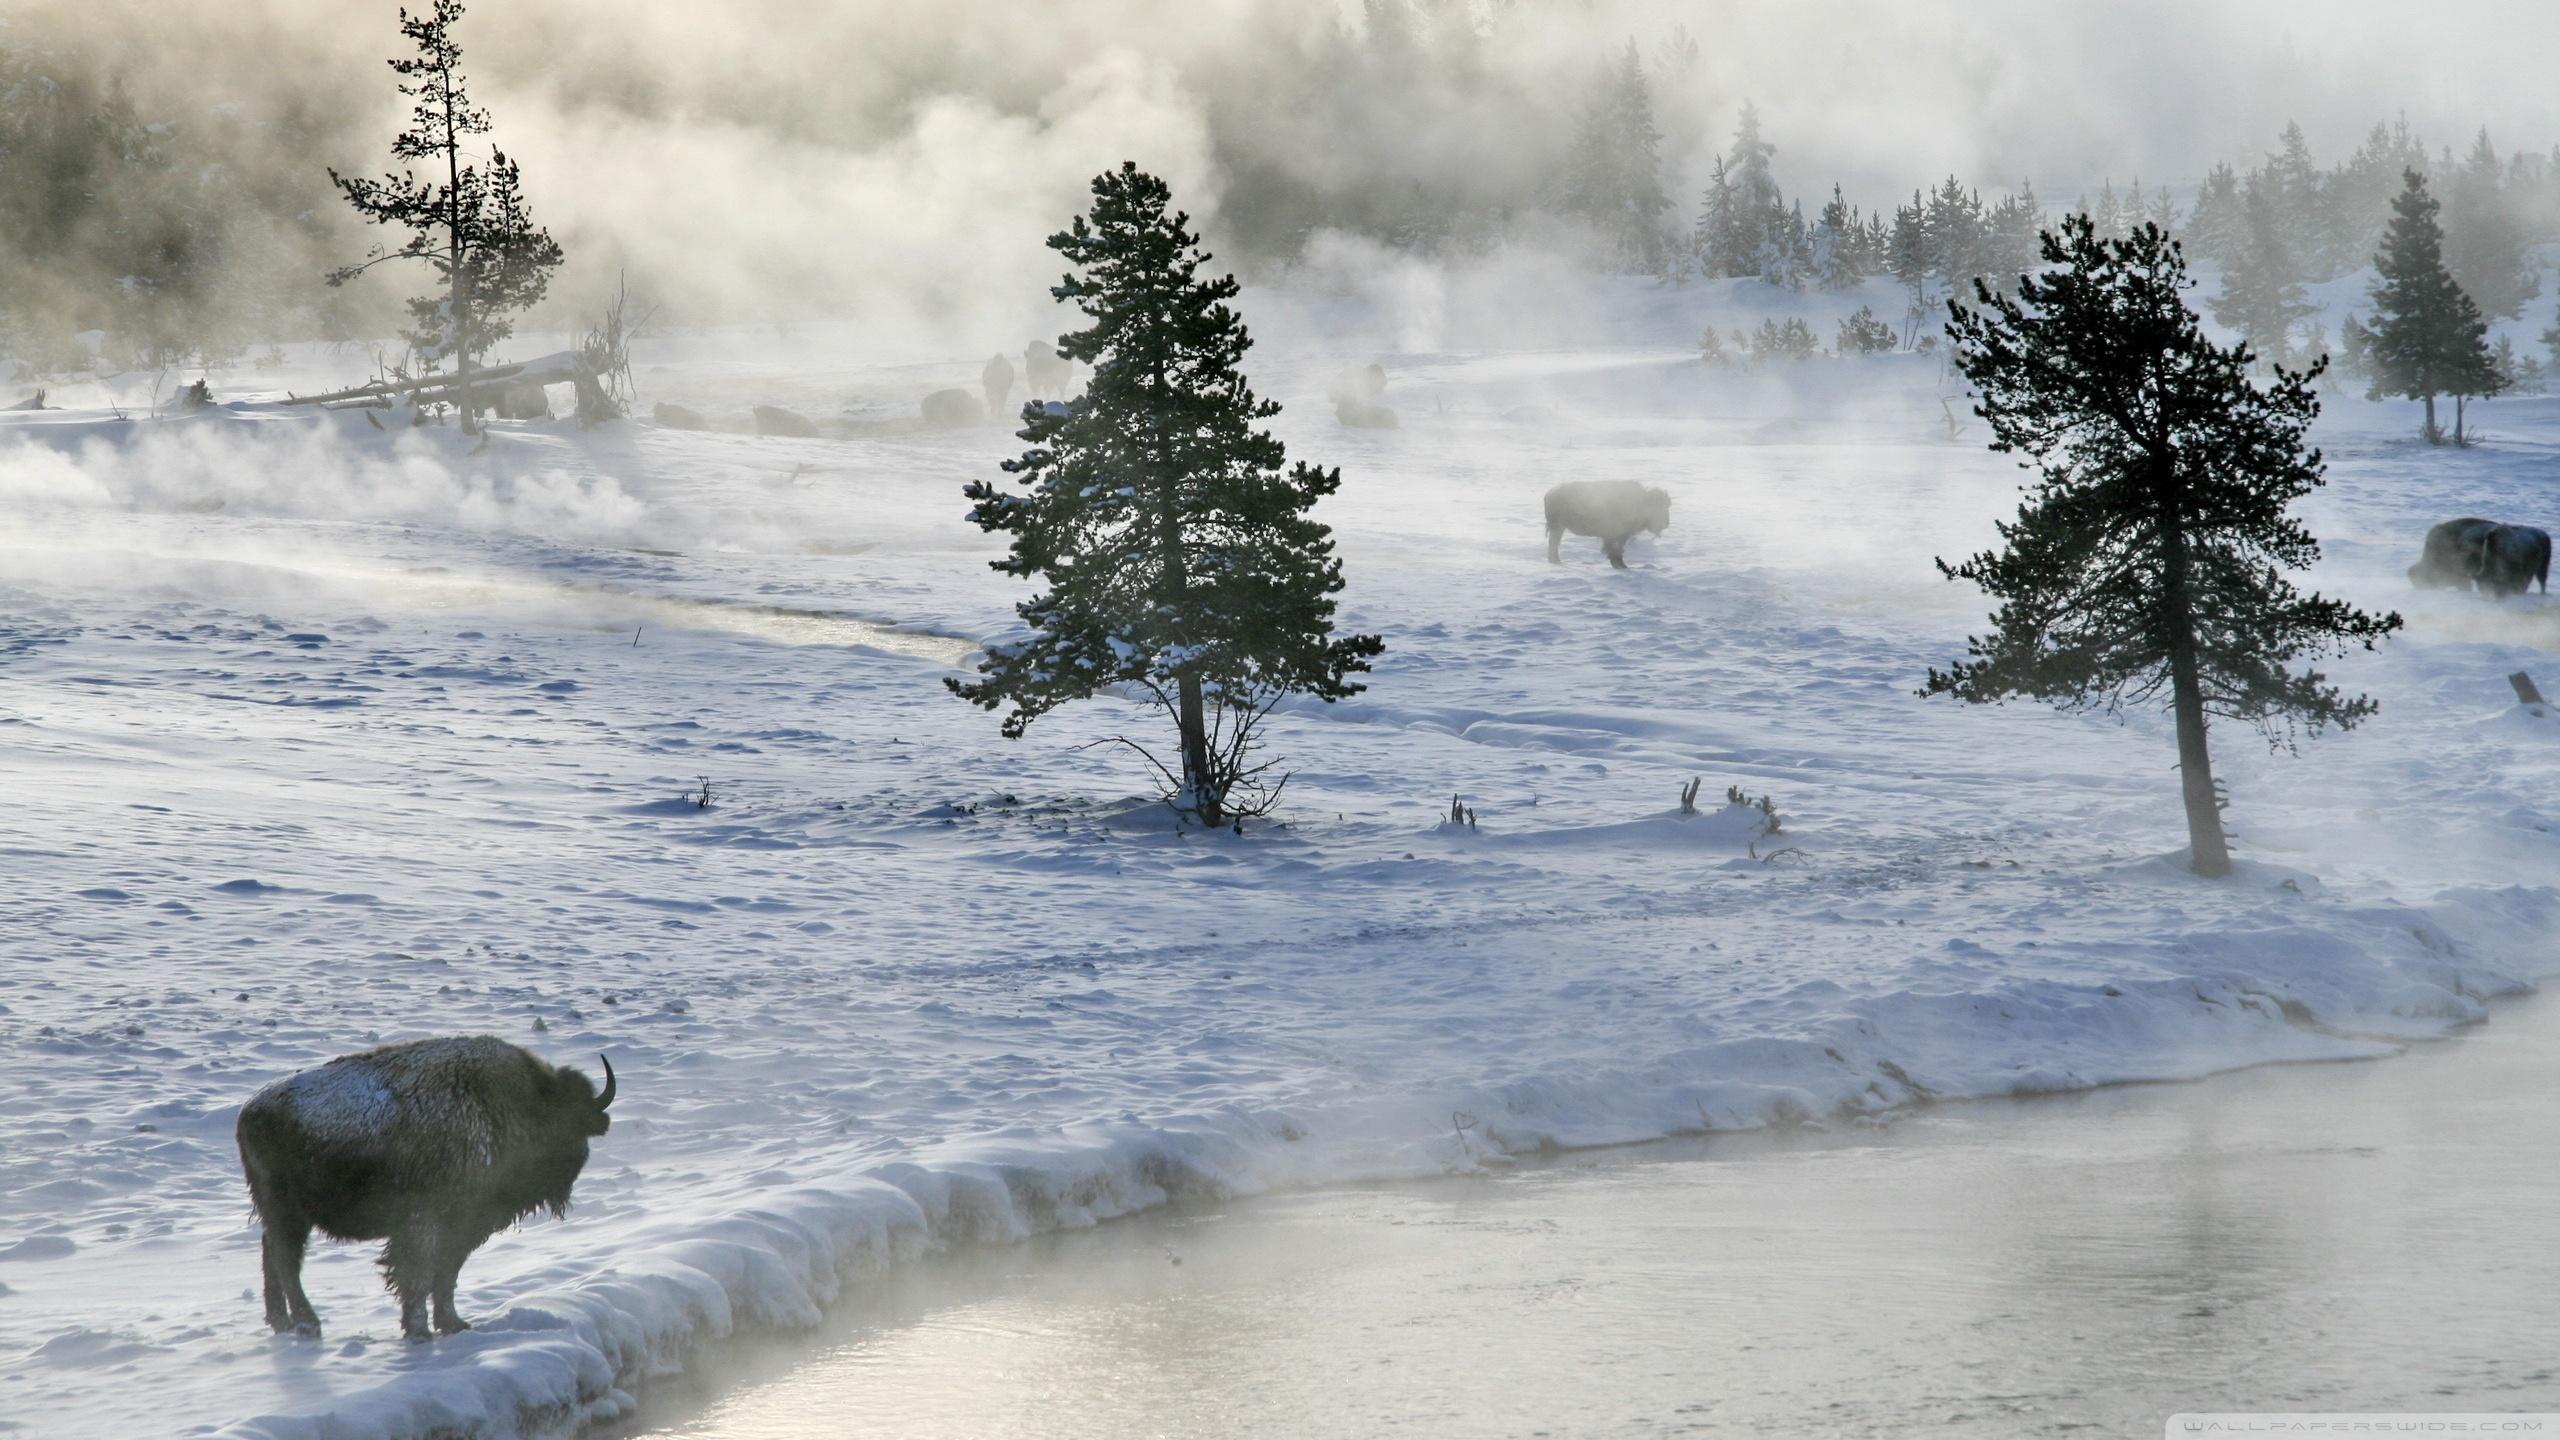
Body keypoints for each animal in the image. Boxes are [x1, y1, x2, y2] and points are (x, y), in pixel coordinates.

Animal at [237, 1036, 615, 1340]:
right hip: (289, 1212)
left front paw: (453, 1324)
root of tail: (248, 1112)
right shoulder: (425, 1225)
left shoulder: (463, 1229)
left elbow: (445, 1275)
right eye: (569, 1121)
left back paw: (282, 1322)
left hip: (284, 1214)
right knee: (286, 1259)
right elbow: (420, 1275)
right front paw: (419, 1331)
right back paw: (308, 1324)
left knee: (273, 1252)